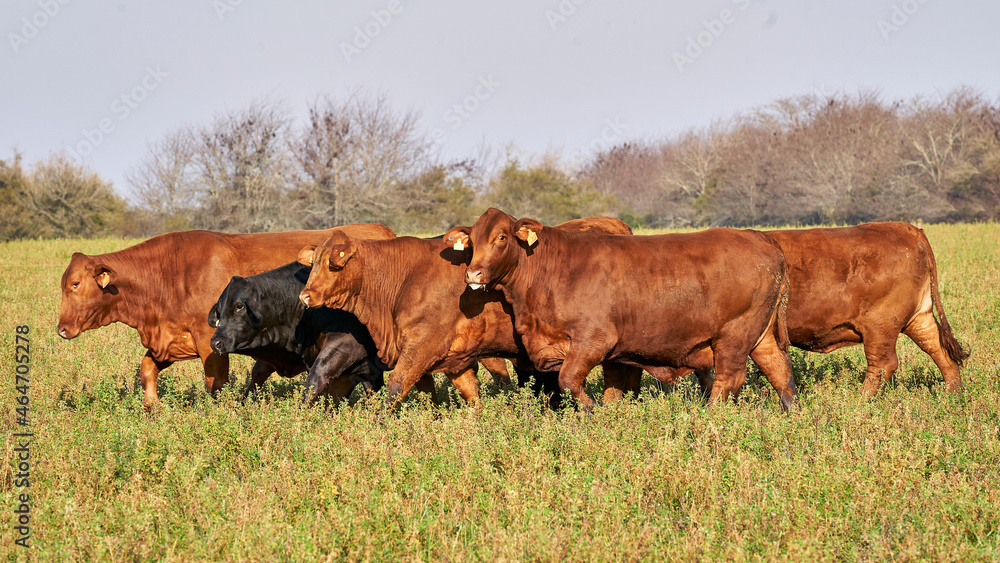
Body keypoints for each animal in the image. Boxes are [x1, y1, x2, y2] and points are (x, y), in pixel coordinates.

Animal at [57, 225, 395, 409]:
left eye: (75, 284)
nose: (61, 328)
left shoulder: (209, 341)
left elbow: (215, 383)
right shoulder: (170, 341)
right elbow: (147, 370)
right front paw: (152, 408)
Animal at [207, 261, 513, 403]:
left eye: (239, 306)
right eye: (219, 311)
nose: (216, 342)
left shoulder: (345, 349)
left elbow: (316, 379)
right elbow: (258, 374)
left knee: (499, 372)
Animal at [296, 217, 643, 409]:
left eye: (333, 262)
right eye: (313, 263)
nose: (305, 295)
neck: (405, 277)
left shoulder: (420, 348)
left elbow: (395, 388)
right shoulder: (456, 360)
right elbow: (469, 397)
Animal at [457, 208, 799, 411]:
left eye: (501, 237)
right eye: (471, 241)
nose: (473, 274)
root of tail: (760, 237)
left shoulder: (593, 340)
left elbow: (569, 380)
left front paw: (591, 411)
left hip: (733, 337)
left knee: (728, 380)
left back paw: (710, 415)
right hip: (760, 337)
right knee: (780, 372)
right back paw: (792, 414)